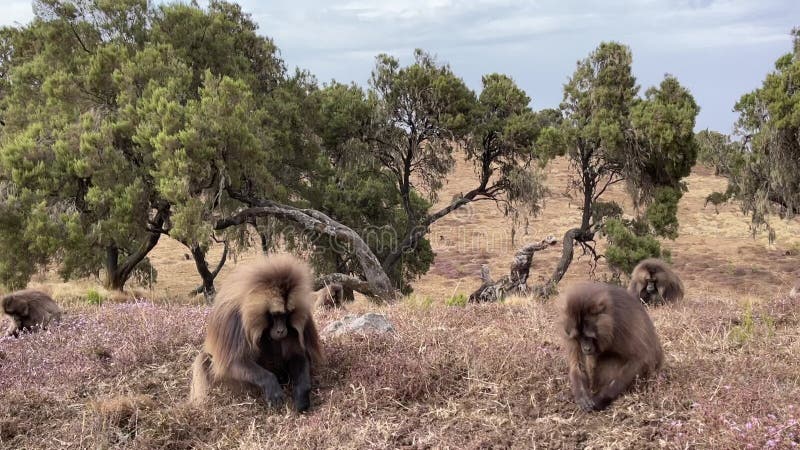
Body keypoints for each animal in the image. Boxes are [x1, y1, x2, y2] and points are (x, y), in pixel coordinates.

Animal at [190, 254, 324, 412]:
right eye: (276, 315)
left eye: (286, 314)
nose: (281, 330)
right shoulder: (235, 322)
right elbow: (234, 362)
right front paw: (272, 386)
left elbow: (296, 354)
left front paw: (301, 394)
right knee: (204, 358)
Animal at [559, 282, 663, 411]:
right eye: (579, 337)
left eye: (588, 336)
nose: (586, 348)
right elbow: (577, 364)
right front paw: (582, 396)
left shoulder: (621, 324)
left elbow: (640, 358)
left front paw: (601, 399)